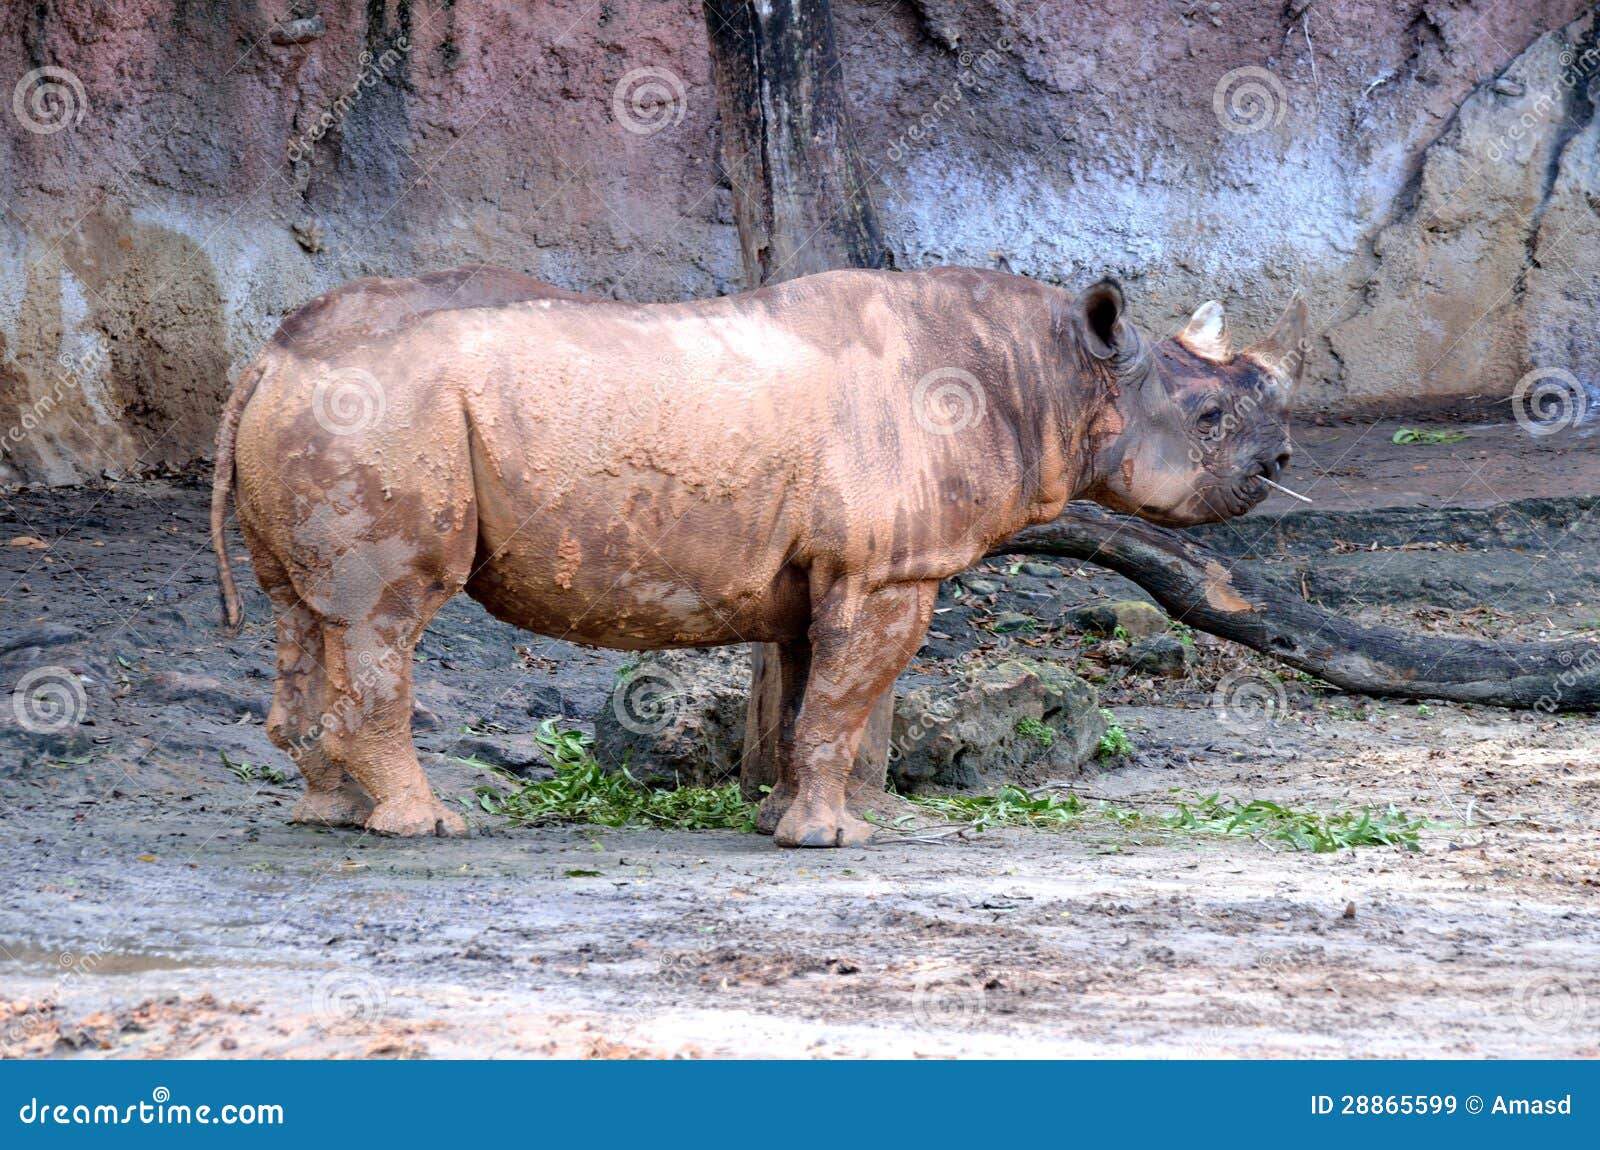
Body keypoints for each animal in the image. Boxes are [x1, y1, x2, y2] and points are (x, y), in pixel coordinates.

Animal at [211, 264, 1304, 847]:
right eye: (1209, 420)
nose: (1281, 462)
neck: (1057, 376)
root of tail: (269, 355)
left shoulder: (816, 570)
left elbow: (801, 696)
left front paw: (781, 815)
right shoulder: (889, 570)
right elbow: (841, 704)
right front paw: (834, 838)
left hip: (338, 414)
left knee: (301, 615)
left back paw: (327, 814)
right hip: (388, 414)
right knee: (384, 616)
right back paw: (426, 825)